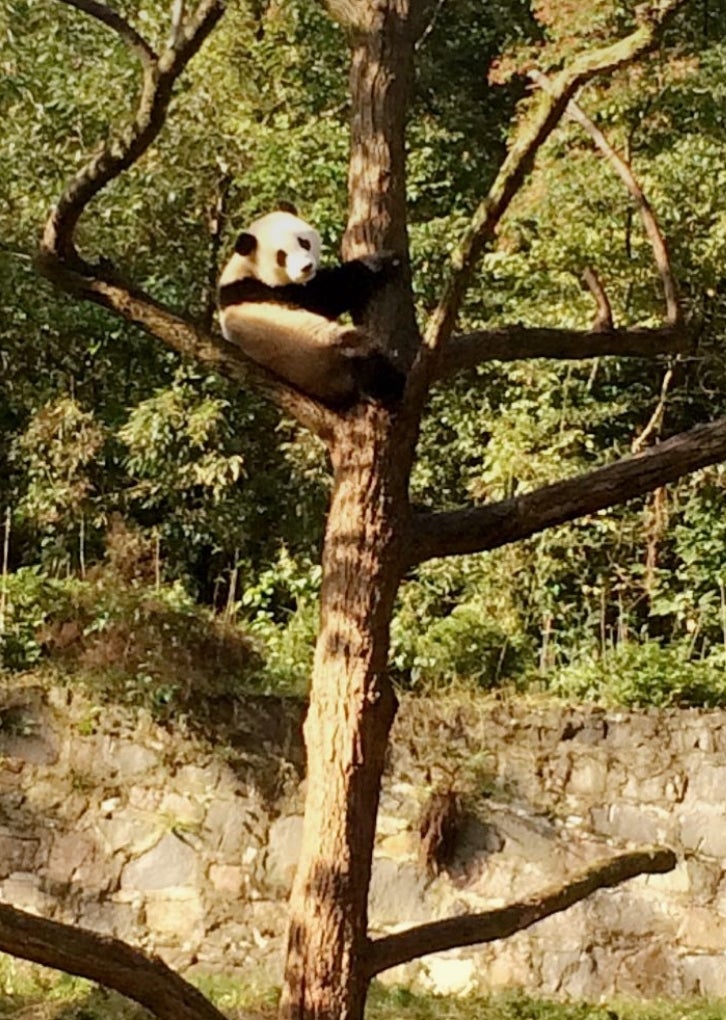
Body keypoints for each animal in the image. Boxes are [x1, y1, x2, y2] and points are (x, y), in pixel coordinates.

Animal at [218, 205, 405, 406]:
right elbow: (328, 294)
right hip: (323, 353)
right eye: (281, 256)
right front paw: (381, 262)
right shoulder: (266, 290)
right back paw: (390, 385)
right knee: (367, 355)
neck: (247, 266)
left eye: (303, 242)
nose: (306, 267)